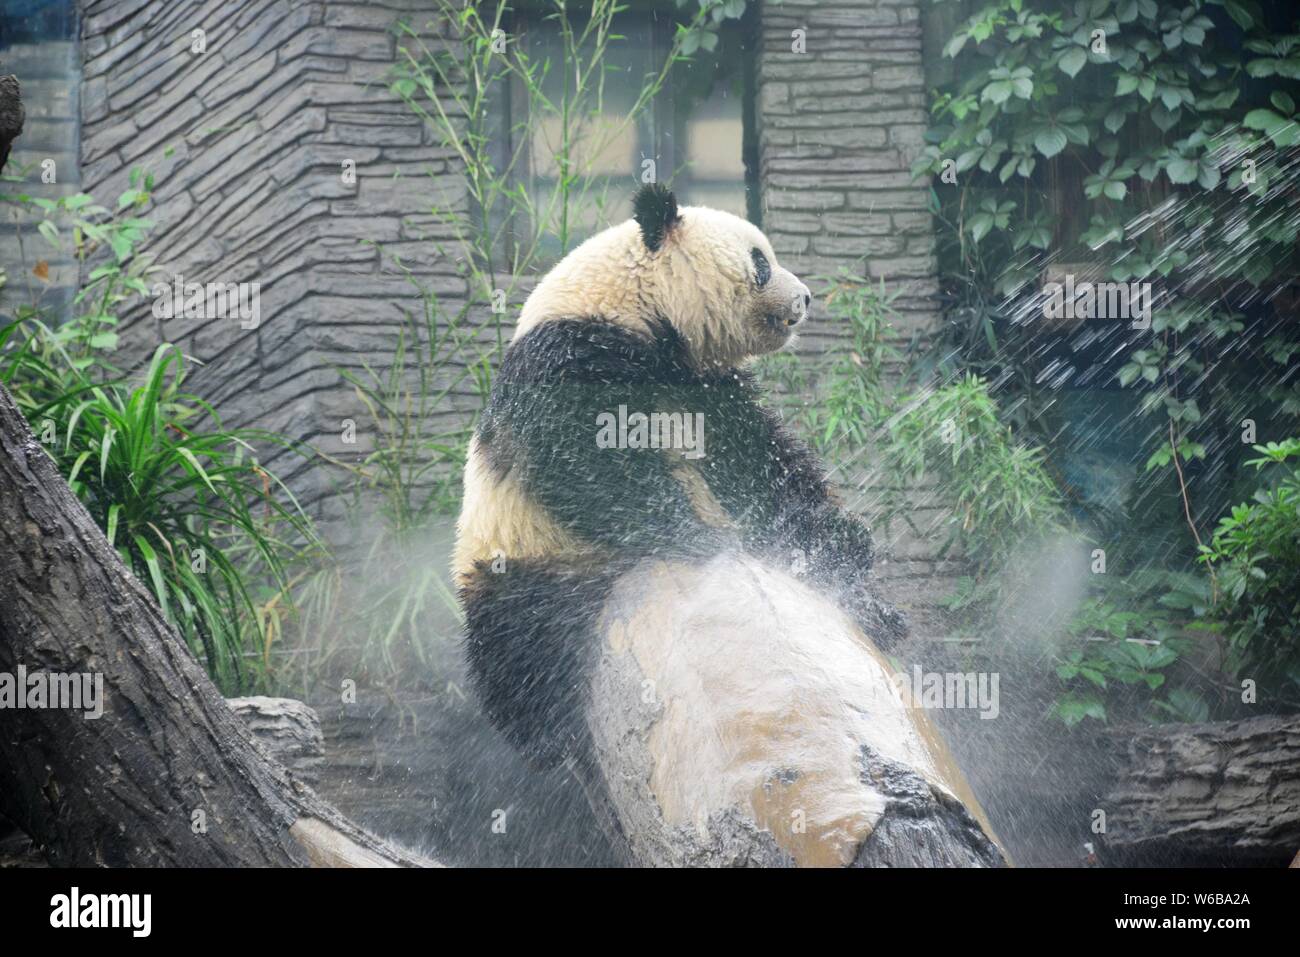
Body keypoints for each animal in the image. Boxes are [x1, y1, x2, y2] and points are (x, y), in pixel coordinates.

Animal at [454, 183, 904, 766]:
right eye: (761, 262)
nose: (805, 298)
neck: (636, 311)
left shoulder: (704, 383)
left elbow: (756, 459)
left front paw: (838, 536)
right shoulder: (569, 354)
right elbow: (587, 461)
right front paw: (694, 532)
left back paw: (879, 614)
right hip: (521, 559)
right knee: (520, 651)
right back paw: (547, 739)